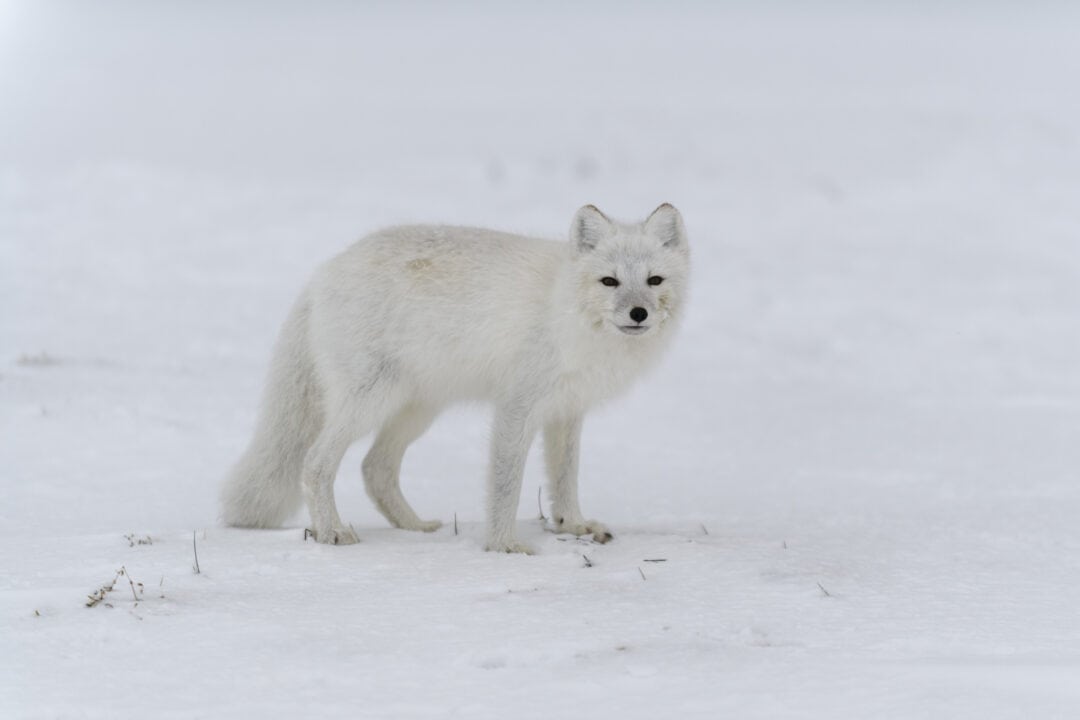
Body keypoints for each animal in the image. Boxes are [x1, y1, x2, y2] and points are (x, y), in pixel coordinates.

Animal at [220, 203, 689, 553]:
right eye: (609, 281)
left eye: (654, 280)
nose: (638, 313)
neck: (567, 312)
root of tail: (323, 272)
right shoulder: (517, 407)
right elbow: (506, 484)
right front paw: (503, 546)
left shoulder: (567, 411)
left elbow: (564, 479)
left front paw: (573, 525)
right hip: (370, 401)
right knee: (316, 462)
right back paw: (331, 532)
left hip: (417, 409)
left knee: (375, 467)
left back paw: (416, 527)